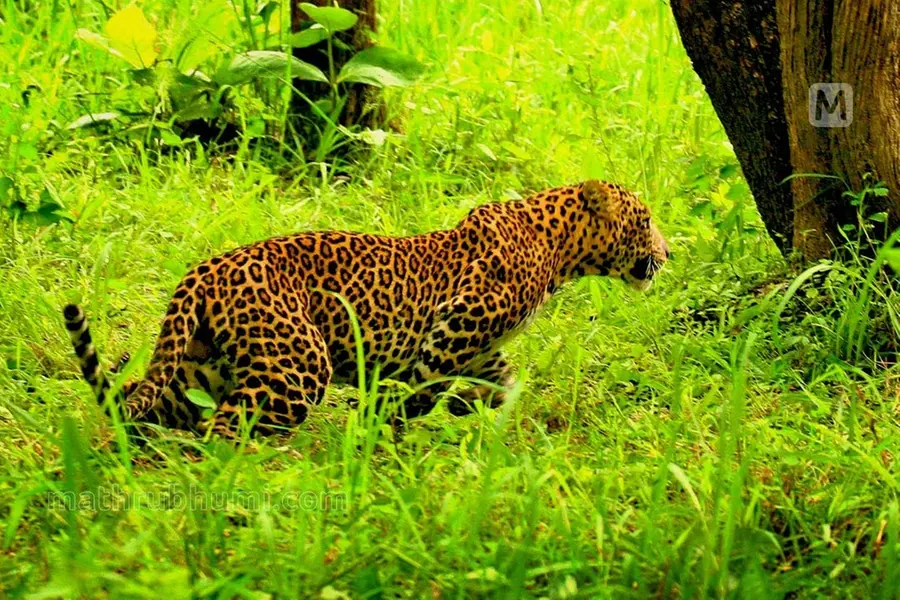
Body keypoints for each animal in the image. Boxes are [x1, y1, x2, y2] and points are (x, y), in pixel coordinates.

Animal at [63, 180, 669, 438]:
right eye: (644, 221)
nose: (668, 254)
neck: (560, 249)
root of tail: (204, 270)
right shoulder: (455, 328)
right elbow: (421, 389)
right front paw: (382, 425)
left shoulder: (483, 349)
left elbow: (504, 382)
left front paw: (475, 409)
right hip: (298, 365)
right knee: (225, 427)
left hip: (202, 361)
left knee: (150, 403)